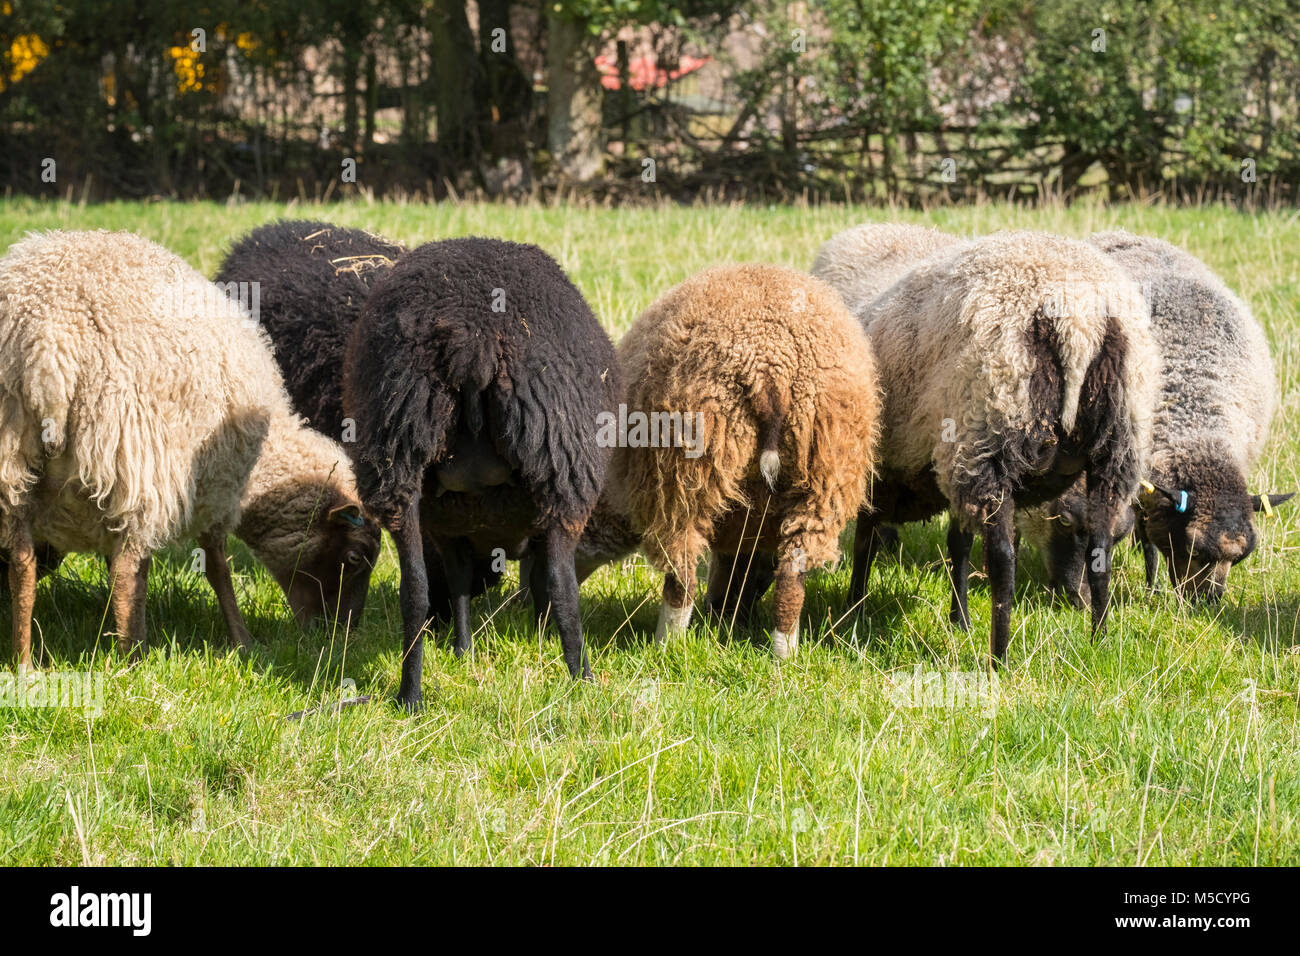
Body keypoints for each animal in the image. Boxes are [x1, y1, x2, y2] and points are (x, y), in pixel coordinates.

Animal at [0, 230, 380, 671]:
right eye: (355, 557)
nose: (340, 634)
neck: (266, 462)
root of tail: (46, 345)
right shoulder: (217, 487)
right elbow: (217, 568)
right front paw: (243, 642)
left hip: (14, 466)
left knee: (22, 564)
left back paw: (24, 662)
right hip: (133, 459)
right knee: (125, 570)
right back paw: (134, 659)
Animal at [342, 236, 619, 708]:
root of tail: (472, 343)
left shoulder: (450, 529)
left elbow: (457, 586)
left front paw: (463, 651)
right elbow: (536, 583)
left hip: (397, 463)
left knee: (414, 590)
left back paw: (411, 697)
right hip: (563, 471)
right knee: (563, 585)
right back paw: (582, 682)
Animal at [611, 264, 879, 658]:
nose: (720, 610)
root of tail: (770, 367)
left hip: (684, 476)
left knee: (682, 575)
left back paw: (667, 647)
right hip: (823, 477)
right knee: (792, 576)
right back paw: (784, 655)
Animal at [848, 231, 1159, 664]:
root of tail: (1078, 324)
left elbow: (867, 540)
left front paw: (853, 611)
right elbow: (955, 544)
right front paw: (957, 619)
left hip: (991, 429)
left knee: (1003, 562)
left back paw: (1000, 659)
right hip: (1118, 445)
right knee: (1100, 552)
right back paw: (1098, 642)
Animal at [1021, 230, 1291, 601]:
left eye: (1239, 558)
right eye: (1192, 548)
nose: (1208, 603)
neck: (1195, 421)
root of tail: (1119, 233)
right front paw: (1152, 585)